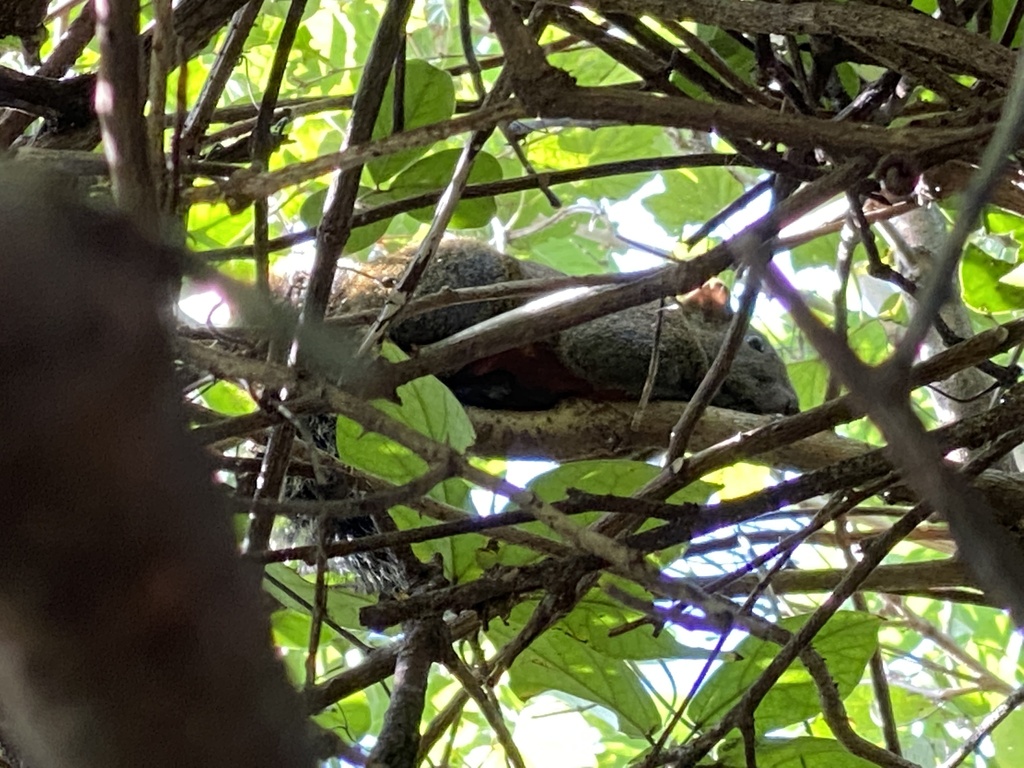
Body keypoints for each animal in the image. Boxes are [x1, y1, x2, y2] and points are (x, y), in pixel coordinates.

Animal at [326, 239, 799, 416]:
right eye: (756, 344)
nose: (794, 405)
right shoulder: (627, 330)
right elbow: (597, 351)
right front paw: (684, 392)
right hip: (460, 285)